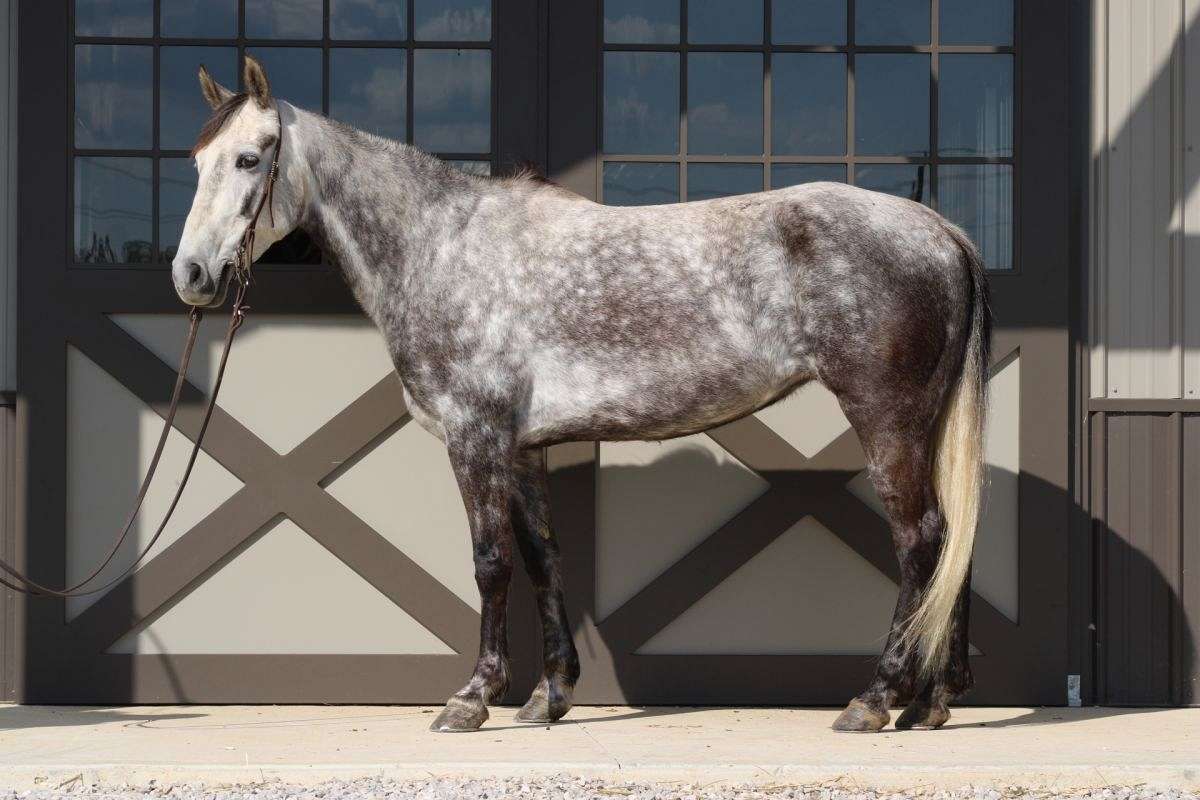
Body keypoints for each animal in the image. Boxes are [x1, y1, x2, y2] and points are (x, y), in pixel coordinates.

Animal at [172, 56, 990, 734]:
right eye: (197, 160)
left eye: (249, 158)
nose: (191, 275)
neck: (442, 245)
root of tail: (940, 229)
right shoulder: (521, 449)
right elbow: (542, 558)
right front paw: (548, 695)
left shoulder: (476, 437)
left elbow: (490, 561)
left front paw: (473, 699)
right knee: (954, 537)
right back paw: (930, 703)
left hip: (887, 421)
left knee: (921, 540)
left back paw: (874, 700)